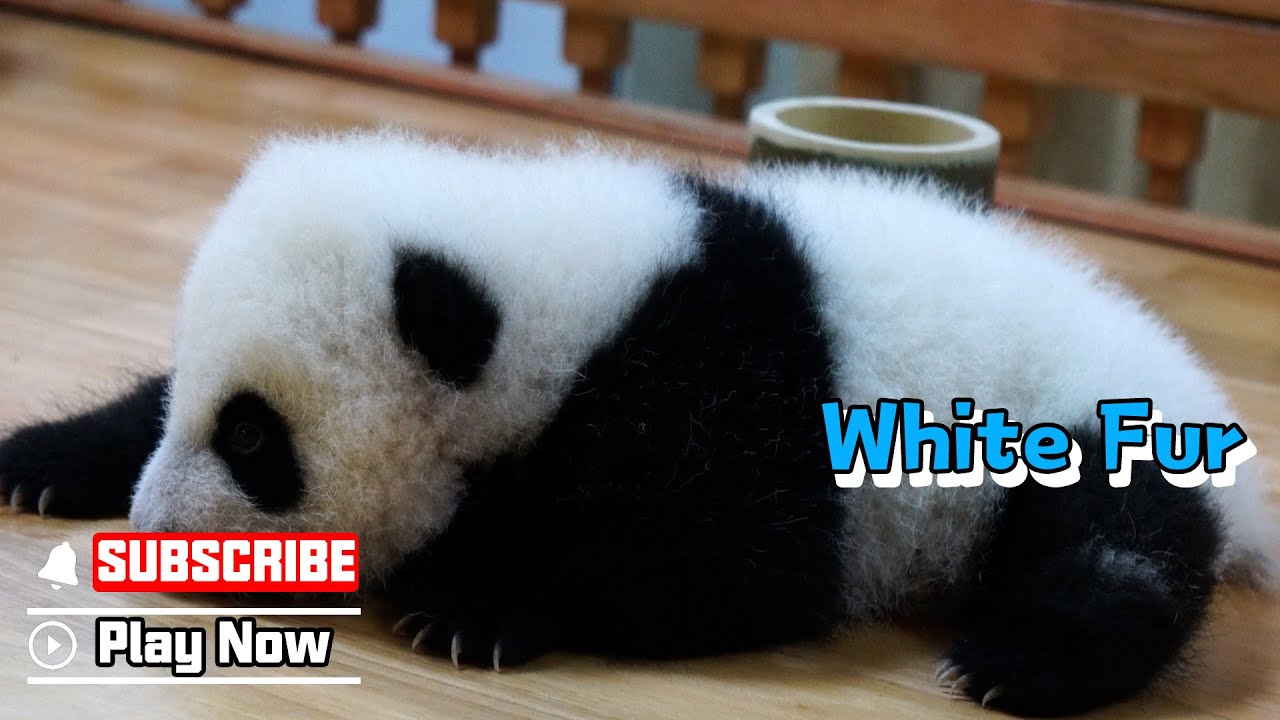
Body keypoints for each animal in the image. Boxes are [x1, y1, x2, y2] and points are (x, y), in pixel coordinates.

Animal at [0, 130, 1274, 717]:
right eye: (208, 409)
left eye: (256, 440)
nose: (157, 528)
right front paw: (47, 458)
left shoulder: (733, 398)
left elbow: (727, 568)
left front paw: (473, 599)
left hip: (1084, 426)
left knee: (1114, 549)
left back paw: (1023, 656)